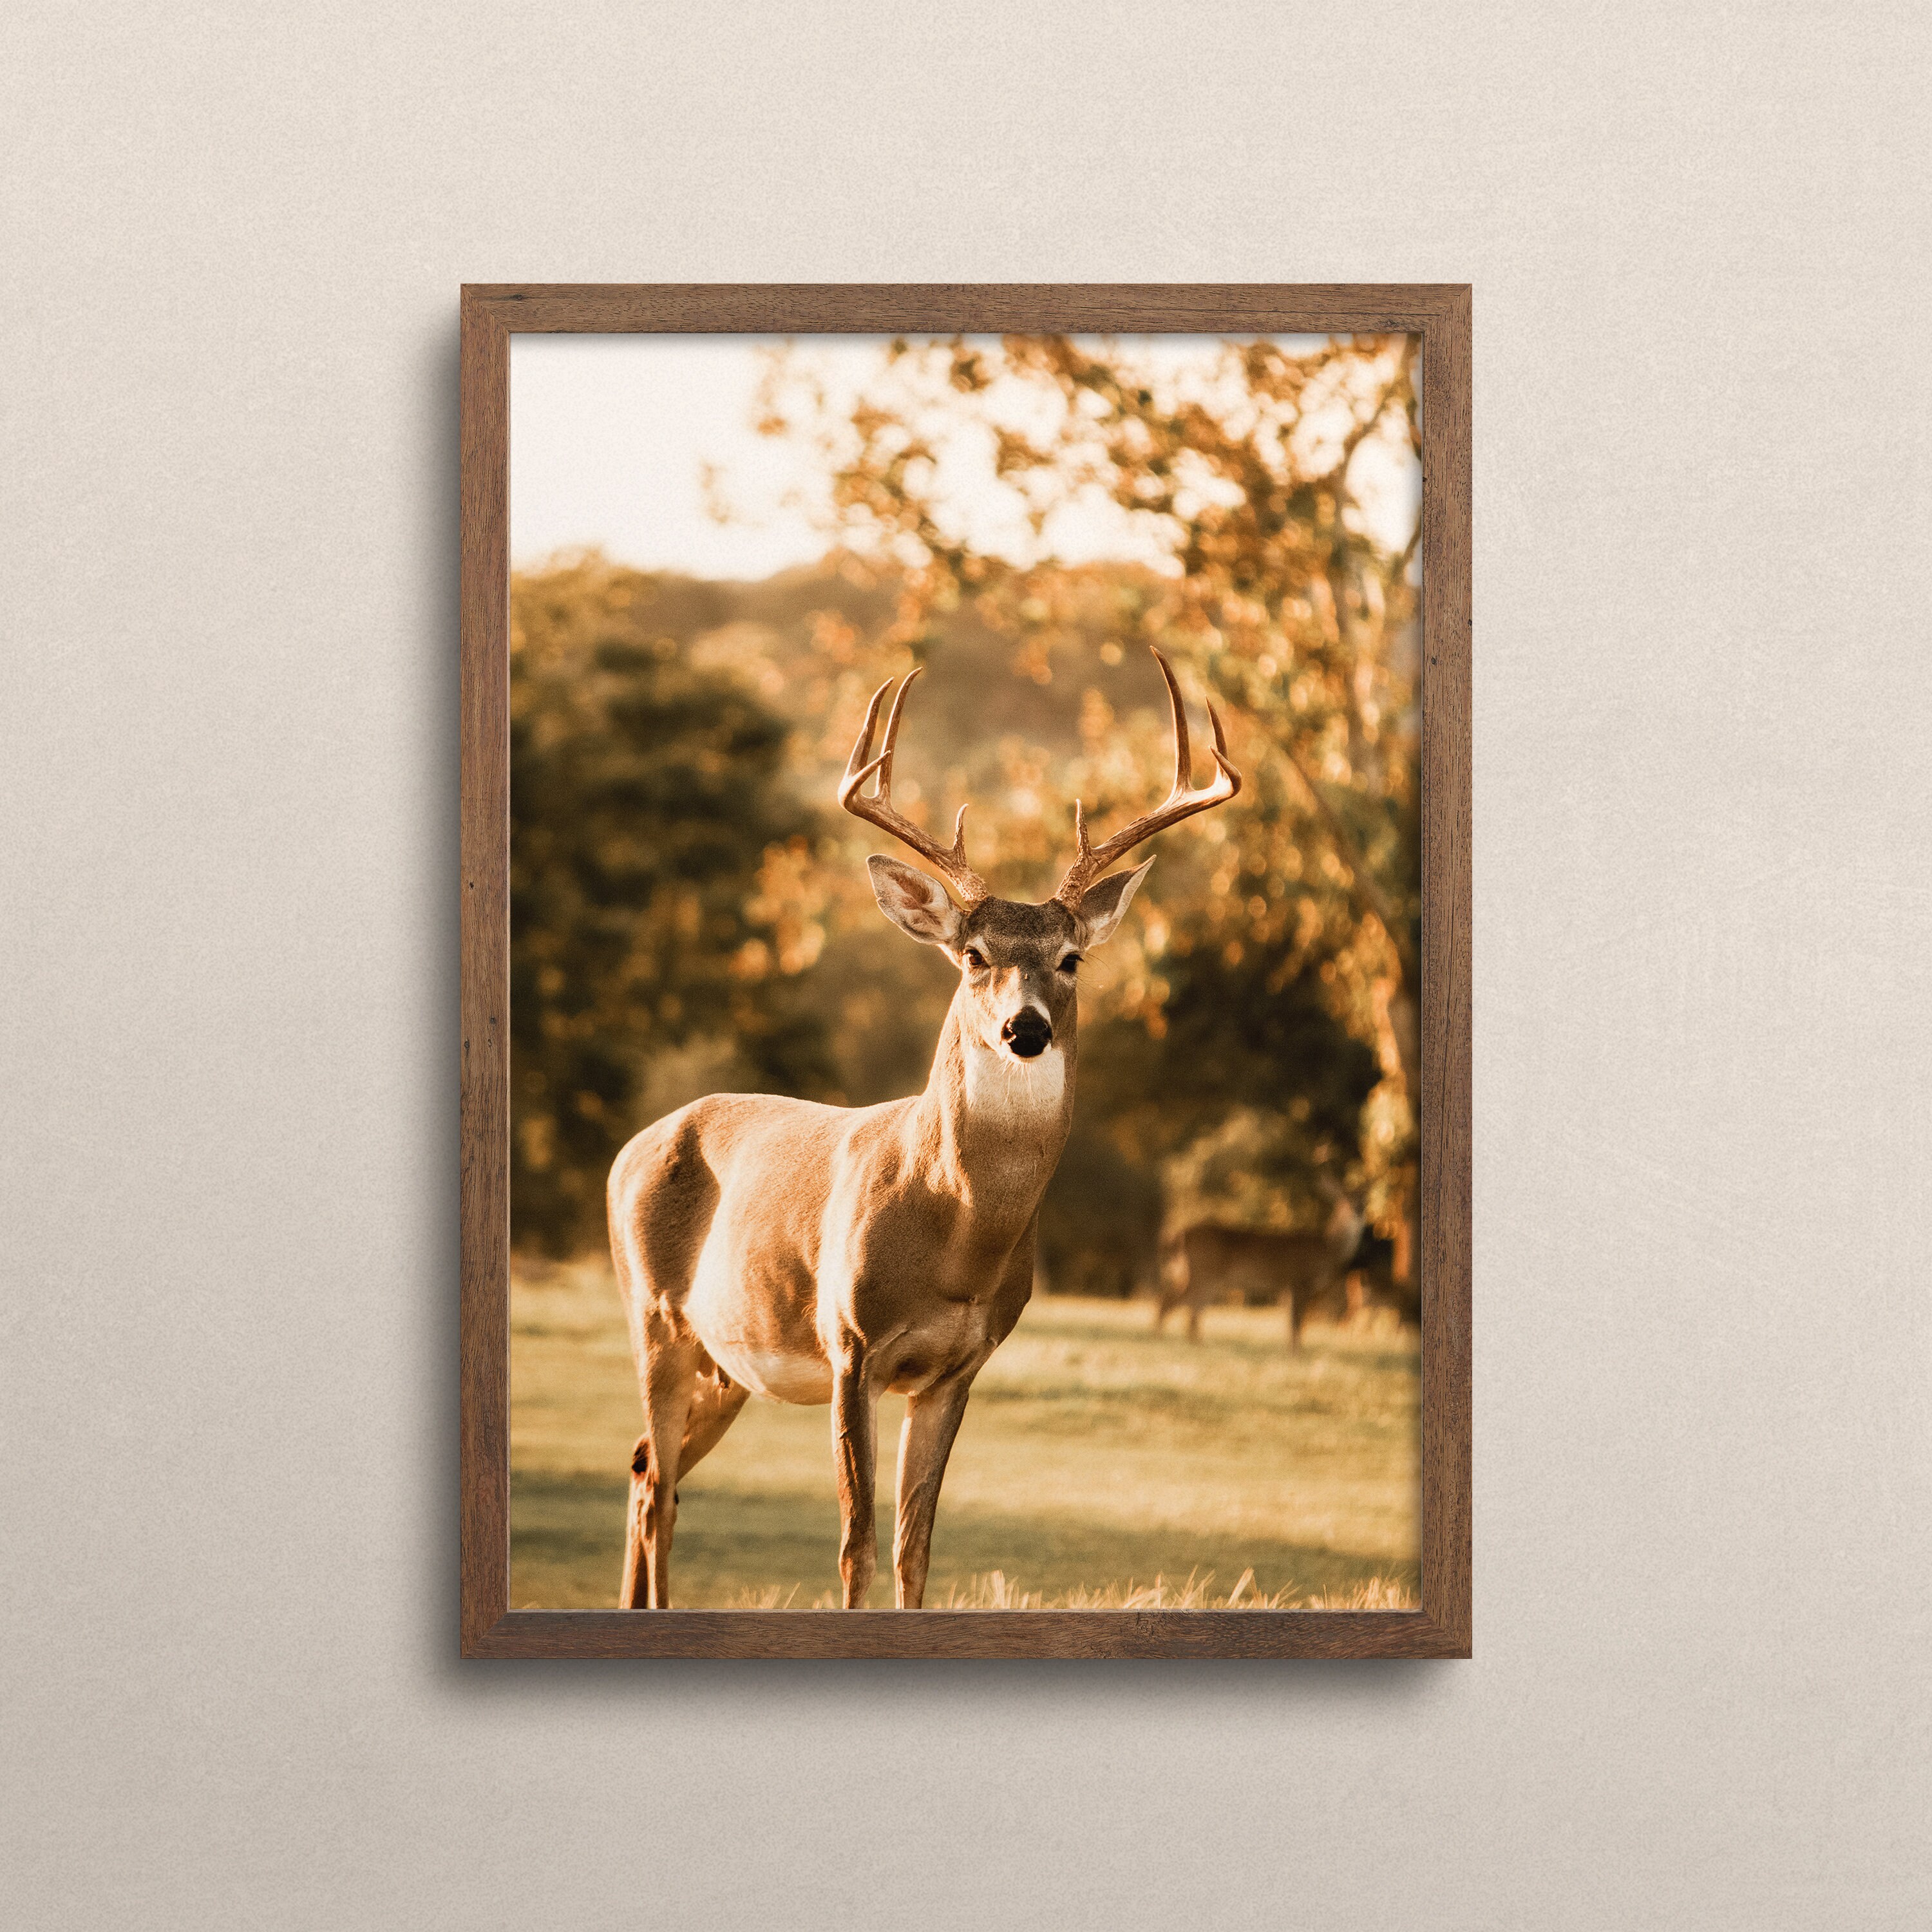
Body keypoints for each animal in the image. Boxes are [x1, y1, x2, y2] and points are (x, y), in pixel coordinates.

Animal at [606, 648, 1239, 1608]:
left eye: (1071, 959)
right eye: (973, 956)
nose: (1025, 1028)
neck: (954, 1235)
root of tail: (631, 1148)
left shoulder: (956, 1368)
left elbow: (915, 1547)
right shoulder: (850, 1345)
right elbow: (856, 1544)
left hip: (726, 1361)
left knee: (649, 1471)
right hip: (654, 1317)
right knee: (656, 1484)